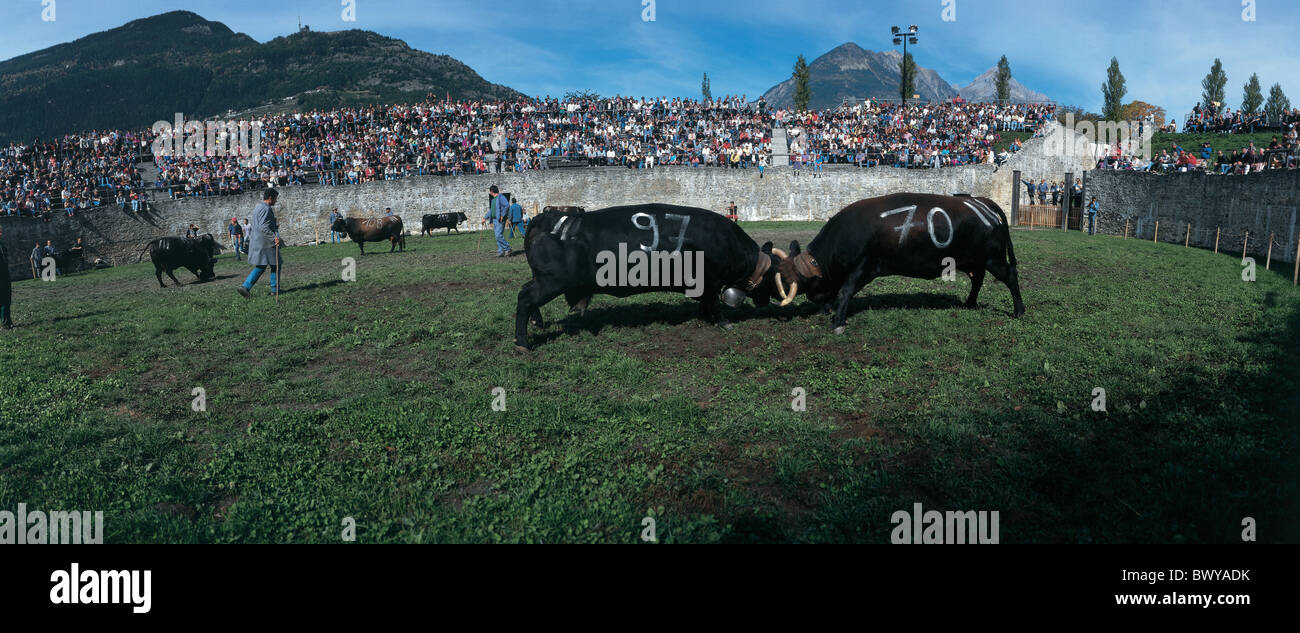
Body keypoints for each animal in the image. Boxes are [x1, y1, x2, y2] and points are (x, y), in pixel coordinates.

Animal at [514, 203, 783, 351]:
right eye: (775, 275)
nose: (777, 302)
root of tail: (549, 217)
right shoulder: (710, 281)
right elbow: (715, 304)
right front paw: (723, 322)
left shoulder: (704, 286)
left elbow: (706, 303)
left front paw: (704, 317)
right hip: (551, 281)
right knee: (525, 298)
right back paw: (522, 343)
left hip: (544, 279)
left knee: (526, 293)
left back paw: (537, 324)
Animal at [770, 193, 1025, 334]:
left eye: (797, 281)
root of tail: (981, 202)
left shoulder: (863, 267)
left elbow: (845, 291)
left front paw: (838, 323)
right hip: (974, 260)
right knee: (977, 278)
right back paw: (969, 304)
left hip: (994, 258)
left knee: (1010, 276)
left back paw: (1019, 311)